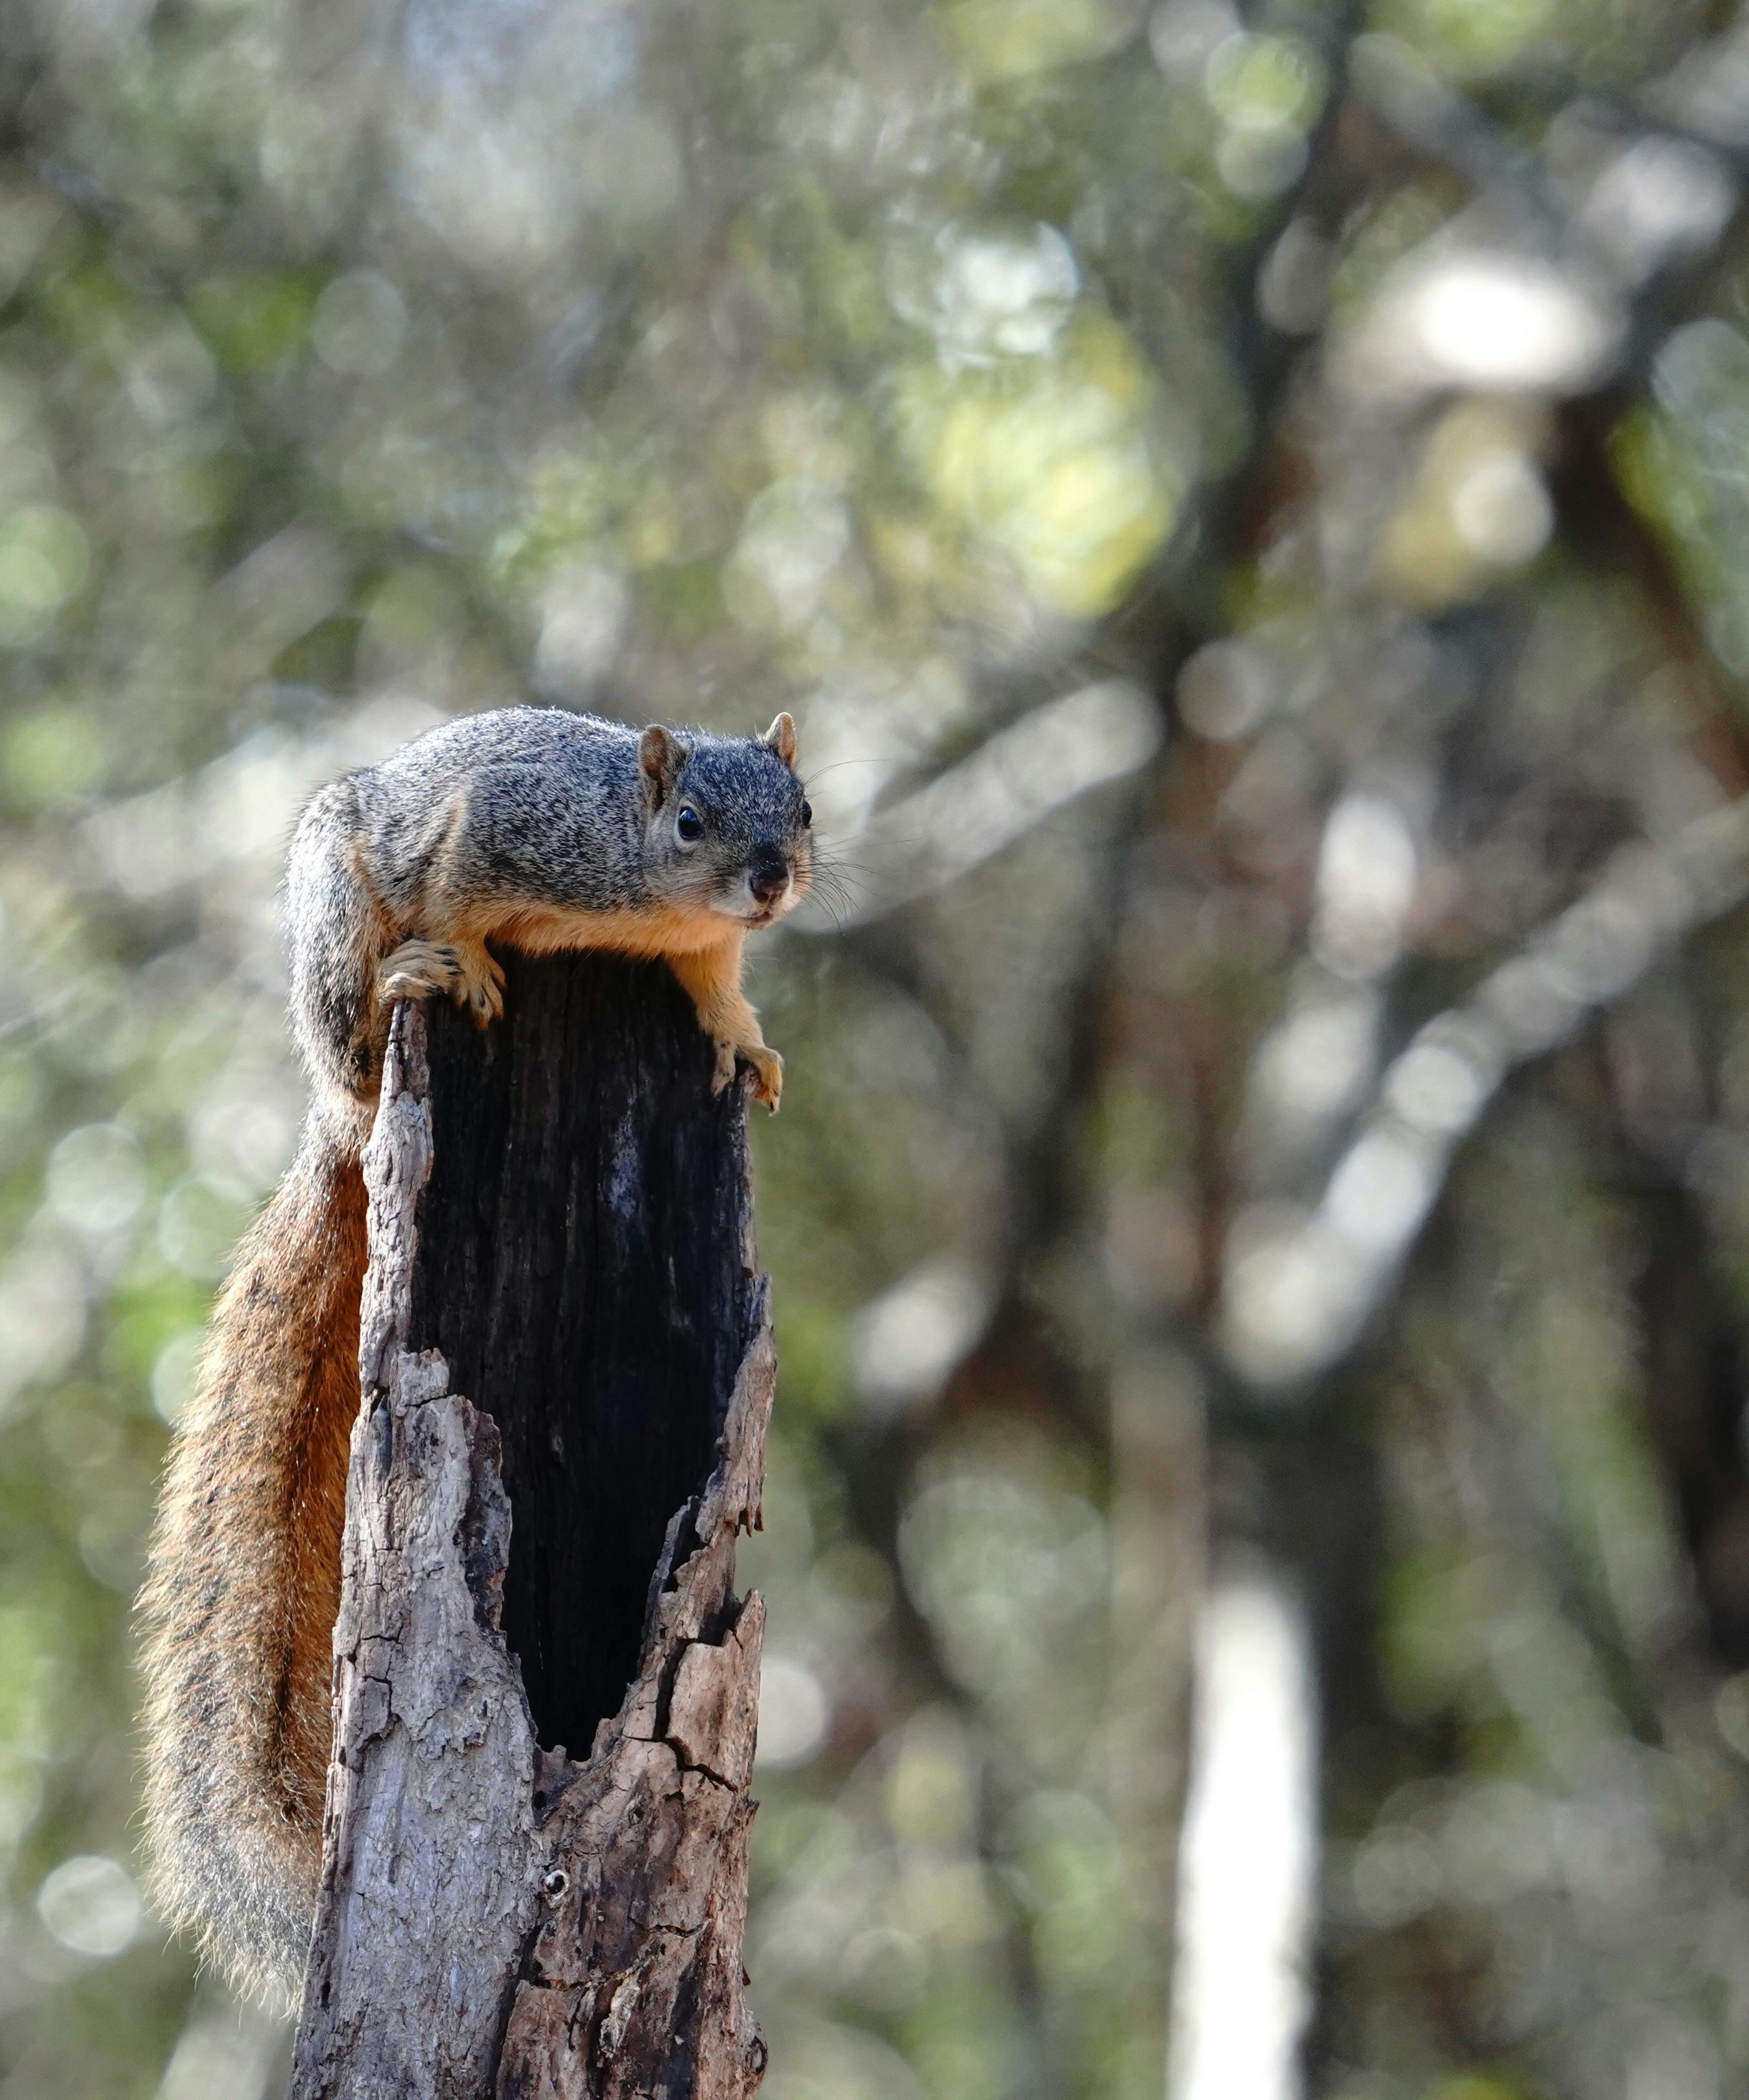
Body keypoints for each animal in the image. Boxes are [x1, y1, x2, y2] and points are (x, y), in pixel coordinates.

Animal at [136, 705, 812, 2005]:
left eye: (803, 810)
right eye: (690, 820)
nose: (769, 882)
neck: (642, 882)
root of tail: (342, 1132)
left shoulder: (705, 951)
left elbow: (717, 996)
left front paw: (751, 1048)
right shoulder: (498, 831)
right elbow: (452, 889)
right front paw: (470, 962)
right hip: (334, 921)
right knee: (358, 1030)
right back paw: (406, 985)